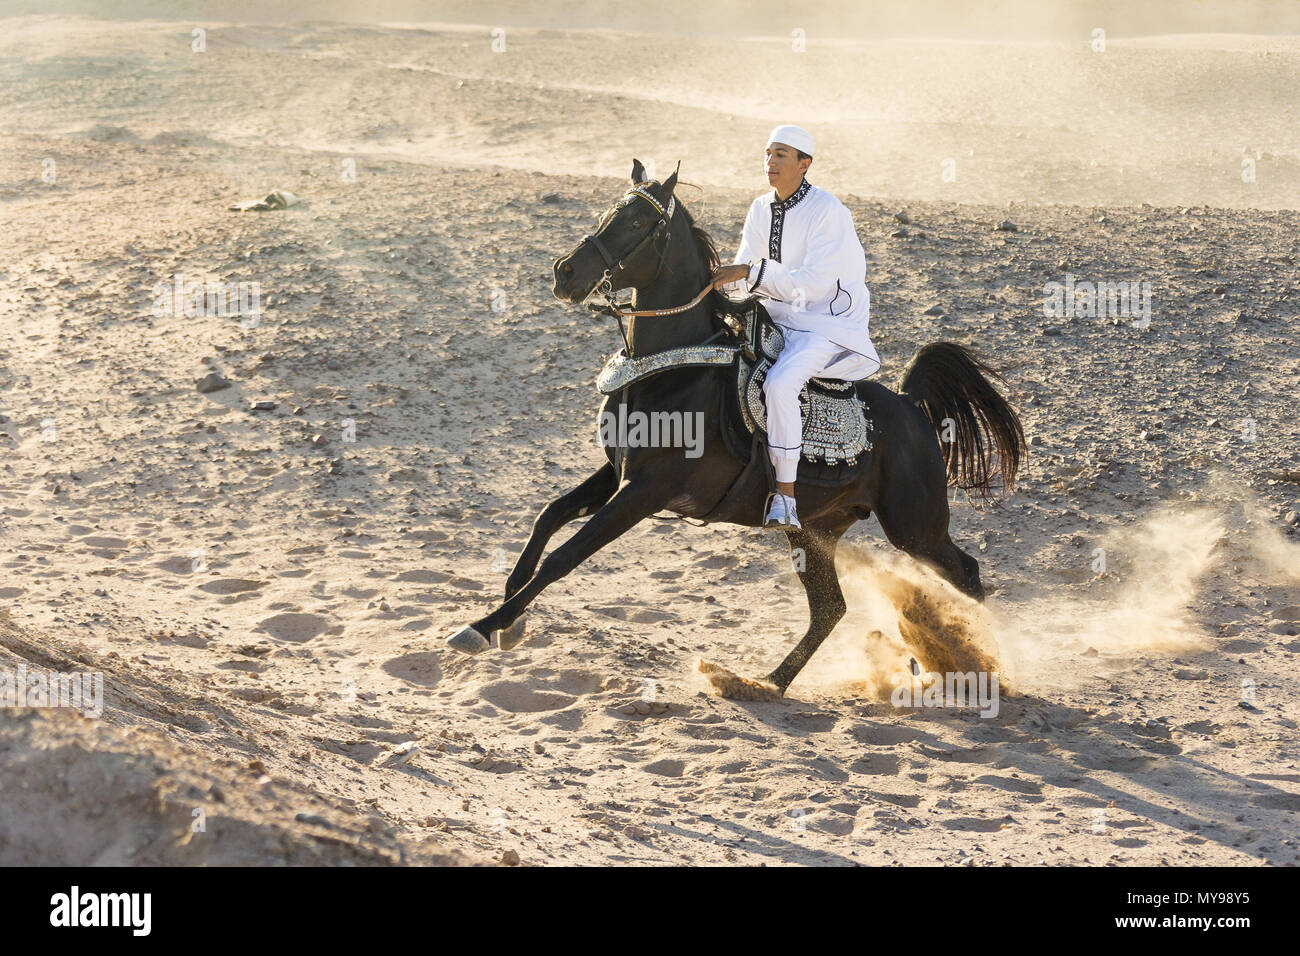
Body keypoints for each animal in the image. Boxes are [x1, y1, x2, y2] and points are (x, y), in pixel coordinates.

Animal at [445, 159, 1025, 699]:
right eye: (611, 210)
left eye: (635, 221)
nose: (565, 273)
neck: (670, 369)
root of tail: (911, 408)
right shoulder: (615, 473)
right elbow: (548, 518)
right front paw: (508, 613)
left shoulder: (643, 491)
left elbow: (564, 556)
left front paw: (482, 626)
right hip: (813, 531)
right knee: (830, 609)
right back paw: (765, 682)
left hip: (916, 528)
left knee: (967, 575)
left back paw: (992, 669)